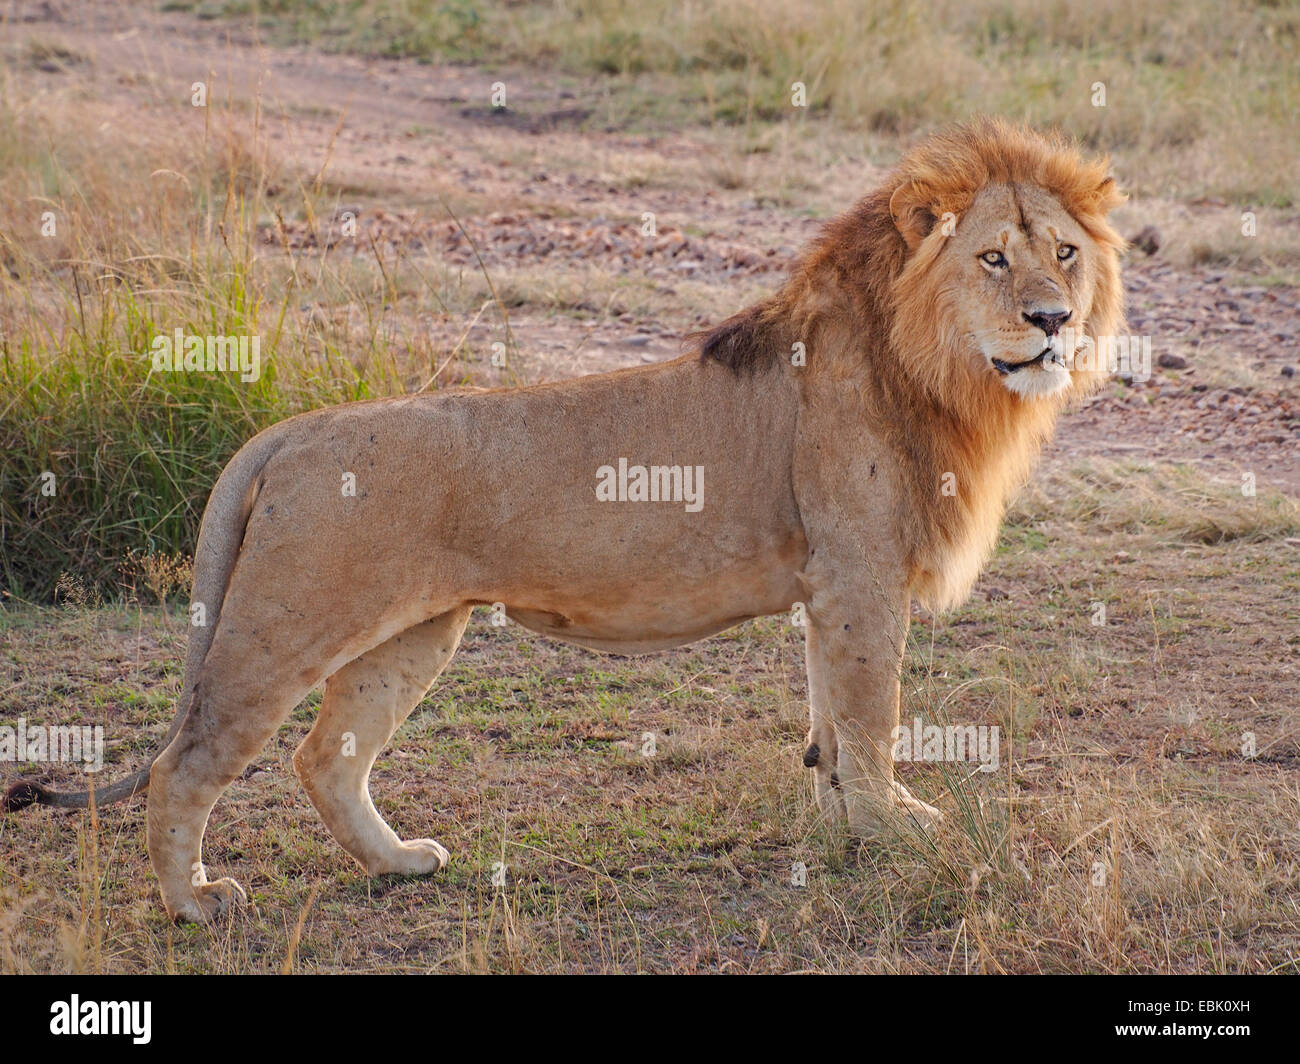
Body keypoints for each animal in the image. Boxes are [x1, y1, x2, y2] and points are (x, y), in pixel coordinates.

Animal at [4, 118, 1125, 922]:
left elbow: (828, 730)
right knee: (186, 762)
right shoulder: (860, 573)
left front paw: (849, 830)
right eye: (992, 260)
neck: (939, 371)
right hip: (283, 624)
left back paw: (400, 863)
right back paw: (194, 903)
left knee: (326, 759)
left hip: (414, 632)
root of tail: (290, 430)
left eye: (1066, 255)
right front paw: (898, 830)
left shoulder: (831, 585)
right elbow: (869, 717)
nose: (1052, 321)